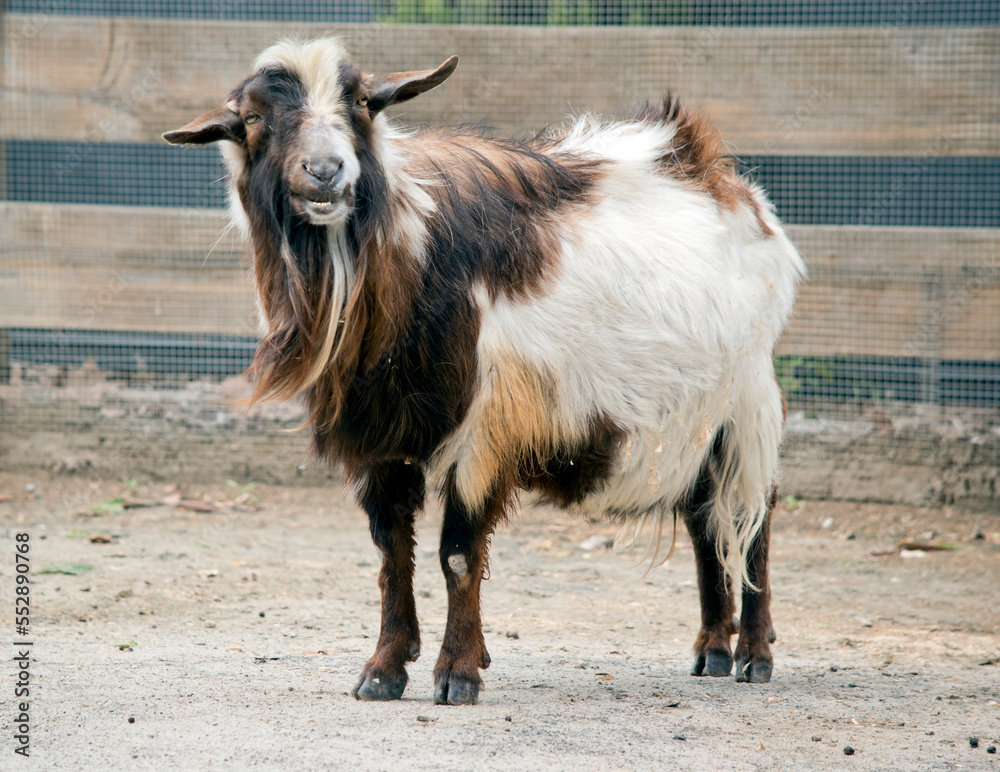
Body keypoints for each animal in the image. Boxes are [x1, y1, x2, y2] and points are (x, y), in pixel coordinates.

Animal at [164, 38, 805, 705]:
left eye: (362, 102)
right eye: (253, 118)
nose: (325, 171)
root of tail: (727, 181)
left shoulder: (484, 428)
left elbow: (458, 554)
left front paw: (457, 673)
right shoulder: (379, 435)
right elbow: (390, 551)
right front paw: (384, 668)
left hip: (749, 402)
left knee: (754, 519)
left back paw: (753, 655)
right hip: (693, 418)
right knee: (706, 516)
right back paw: (711, 649)